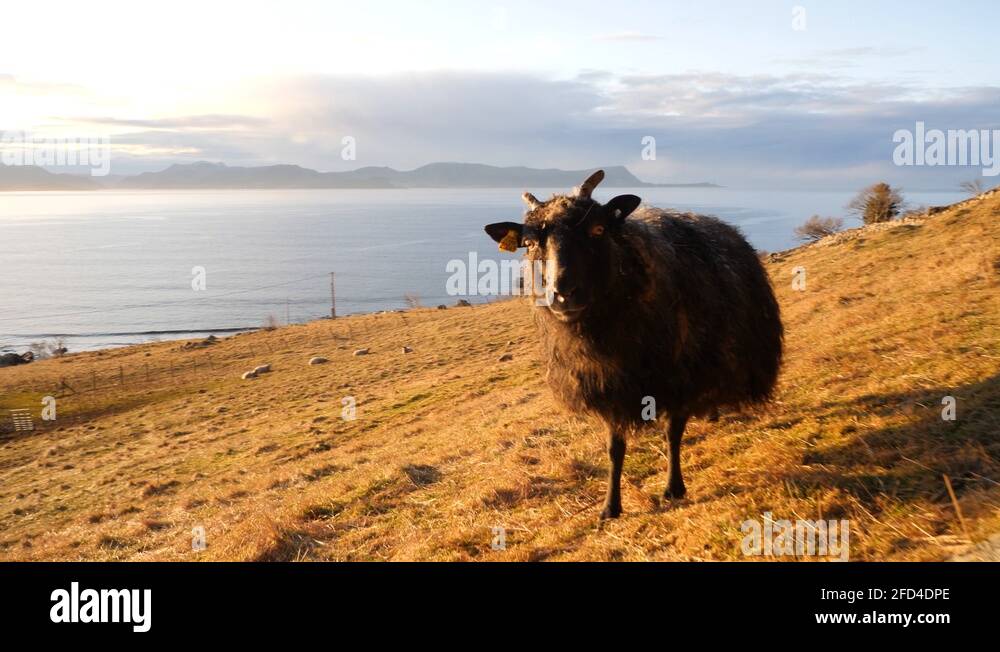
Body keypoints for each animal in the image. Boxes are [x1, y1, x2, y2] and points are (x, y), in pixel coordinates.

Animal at [484, 170, 783, 520]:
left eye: (598, 229)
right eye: (530, 244)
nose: (562, 294)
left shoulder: (678, 377)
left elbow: (672, 433)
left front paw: (674, 488)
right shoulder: (609, 385)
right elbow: (615, 449)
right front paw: (610, 506)